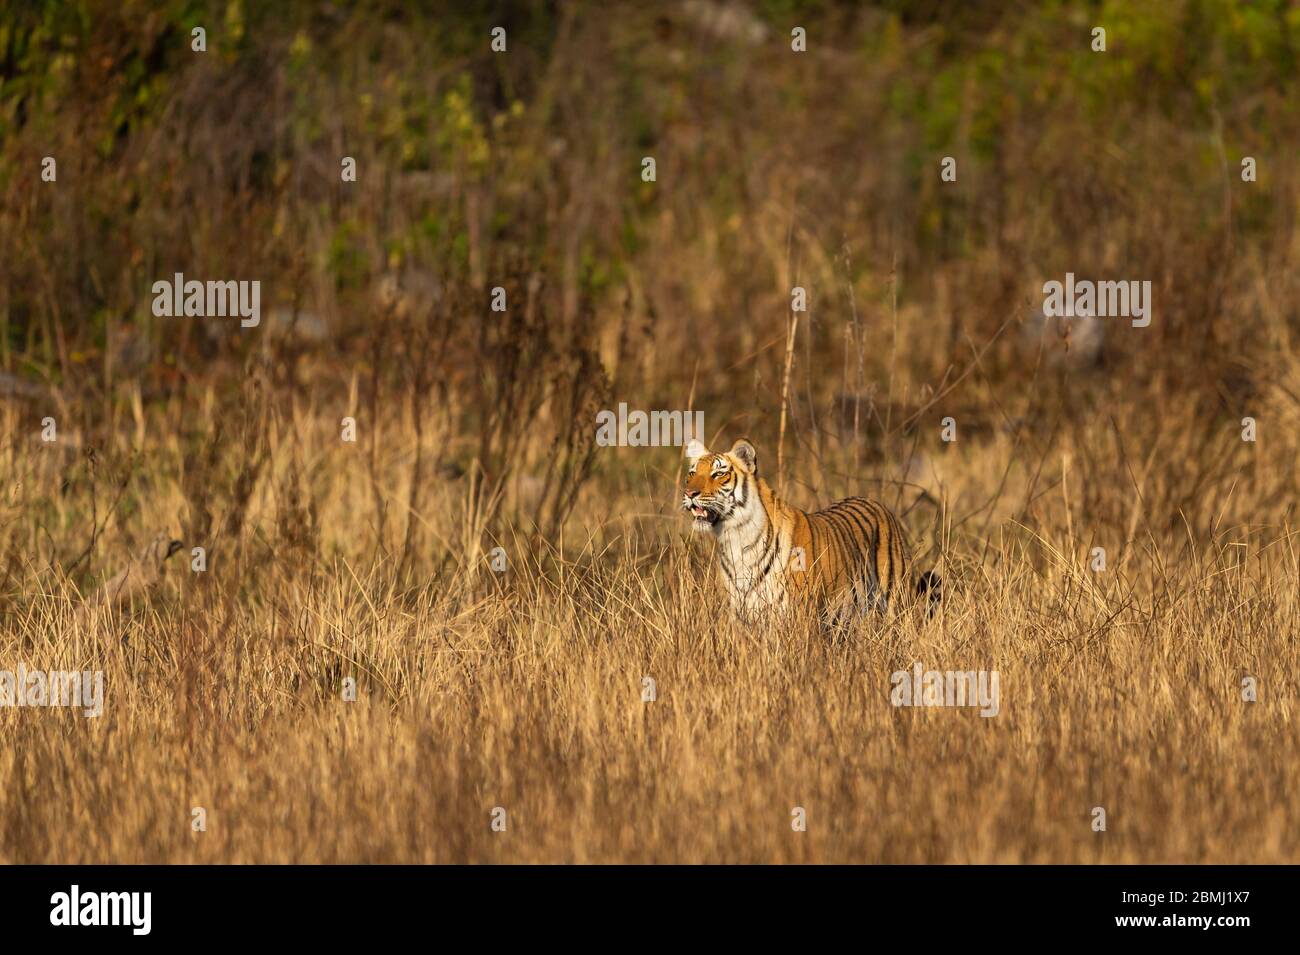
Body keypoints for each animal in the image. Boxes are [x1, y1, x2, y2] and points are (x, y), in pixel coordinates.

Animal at [681, 437, 939, 621]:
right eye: (691, 473)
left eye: (719, 474)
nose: (689, 493)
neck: (735, 536)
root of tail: (877, 503)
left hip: (895, 603)